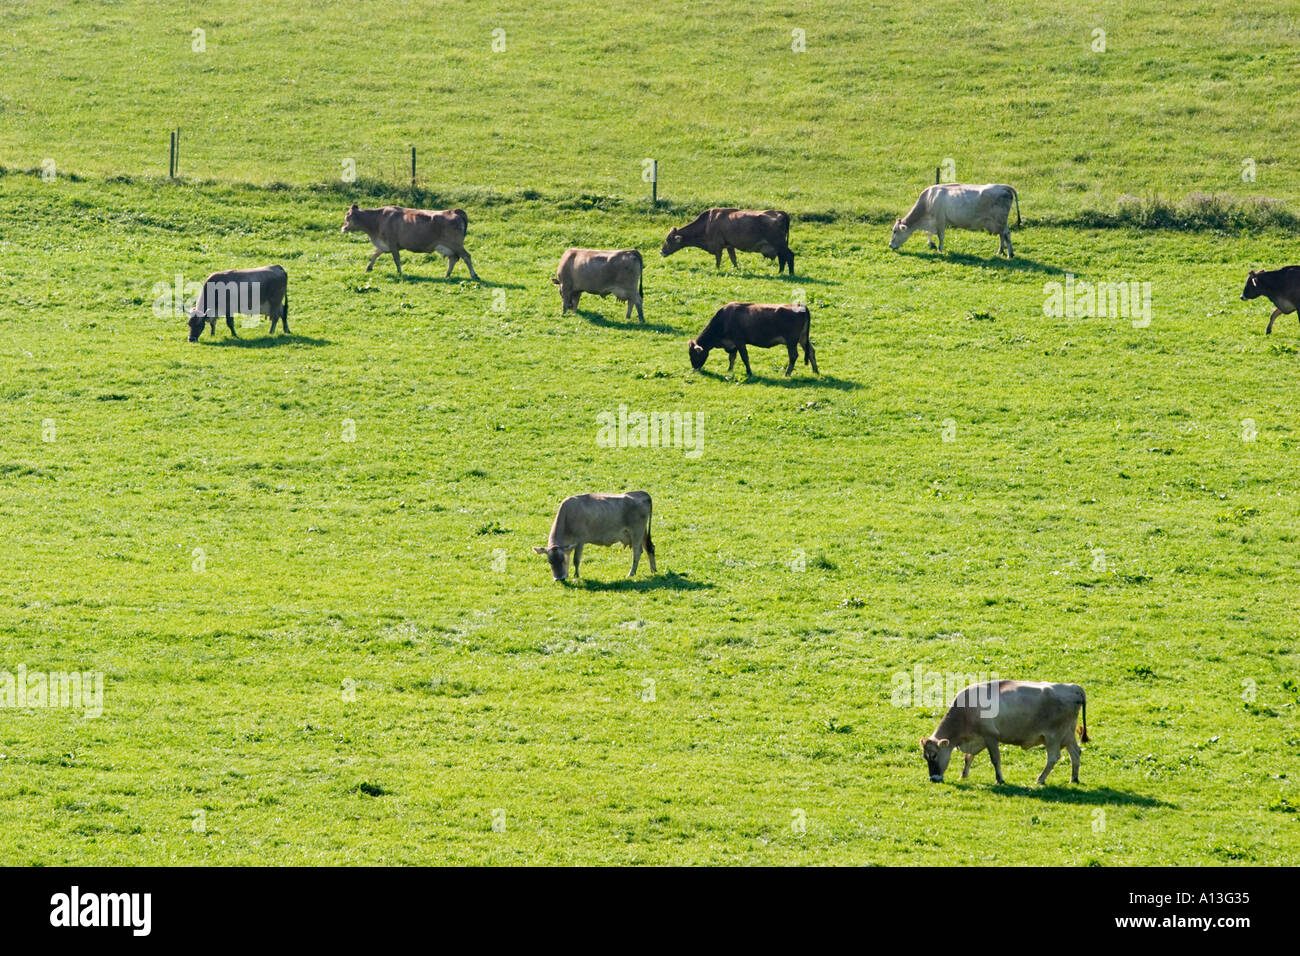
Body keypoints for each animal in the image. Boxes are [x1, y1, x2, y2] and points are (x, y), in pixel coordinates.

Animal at [341, 204, 480, 279]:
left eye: (347, 215)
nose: (343, 228)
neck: (378, 219)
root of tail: (453, 210)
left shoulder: (393, 244)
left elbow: (396, 259)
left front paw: (399, 273)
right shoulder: (385, 244)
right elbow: (375, 254)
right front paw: (369, 267)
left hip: (456, 244)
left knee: (466, 256)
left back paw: (474, 275)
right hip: (448, 247)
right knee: (453, 259)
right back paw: (447, 275)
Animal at [661, 208, 795, 275]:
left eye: (668, 240)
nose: (661, 252)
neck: (707, 223)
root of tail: (780, 212)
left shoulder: (718, 247)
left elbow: (718, 260)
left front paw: (717, 270)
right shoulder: (730, 246)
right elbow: (733, 259)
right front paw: (736, 270)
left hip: (779, 243)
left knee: (789, 256)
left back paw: (790, 273)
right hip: (779, 246)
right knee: (782, 258)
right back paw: (780, 272)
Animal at [689, 302, 817, 377]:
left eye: (694, 354)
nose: (694, 368)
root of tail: (801, 306)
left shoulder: (739, 341)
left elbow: (744, 357)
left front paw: (749, 372)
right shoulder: (732, 344)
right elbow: (732, 358)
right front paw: (729, 370)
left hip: (791, 341)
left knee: (793, 355)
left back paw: (787, 373)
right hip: (803, 338)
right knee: (811, 351)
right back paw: (816, 371)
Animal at [890, 183, 1021, 258]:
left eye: (895, 231)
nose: (890, 245)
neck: (928, 200)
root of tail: (1003, 186)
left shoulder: (940, 220)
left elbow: (940, 236)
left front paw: (940, 250)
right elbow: (928, 233)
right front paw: (931, 244)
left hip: (1000, 220)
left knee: (1006, 234)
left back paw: (1009, 254)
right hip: (998, 223)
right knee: (1002, 235)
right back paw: (1000, 252)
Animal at [920, 680, 1089, 785]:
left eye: (934, 755)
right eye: (925, 757)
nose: (933, 778)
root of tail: (1072, 687)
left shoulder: (990, 736)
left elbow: (995, 759)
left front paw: (999, 779)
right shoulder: (977, 740)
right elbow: (968, 758)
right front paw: (963, 776)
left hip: (1054, 736)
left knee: (1053, 757)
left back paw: (1040, 779)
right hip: (1068, 734)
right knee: (1075, 753)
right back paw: (1074, 779)